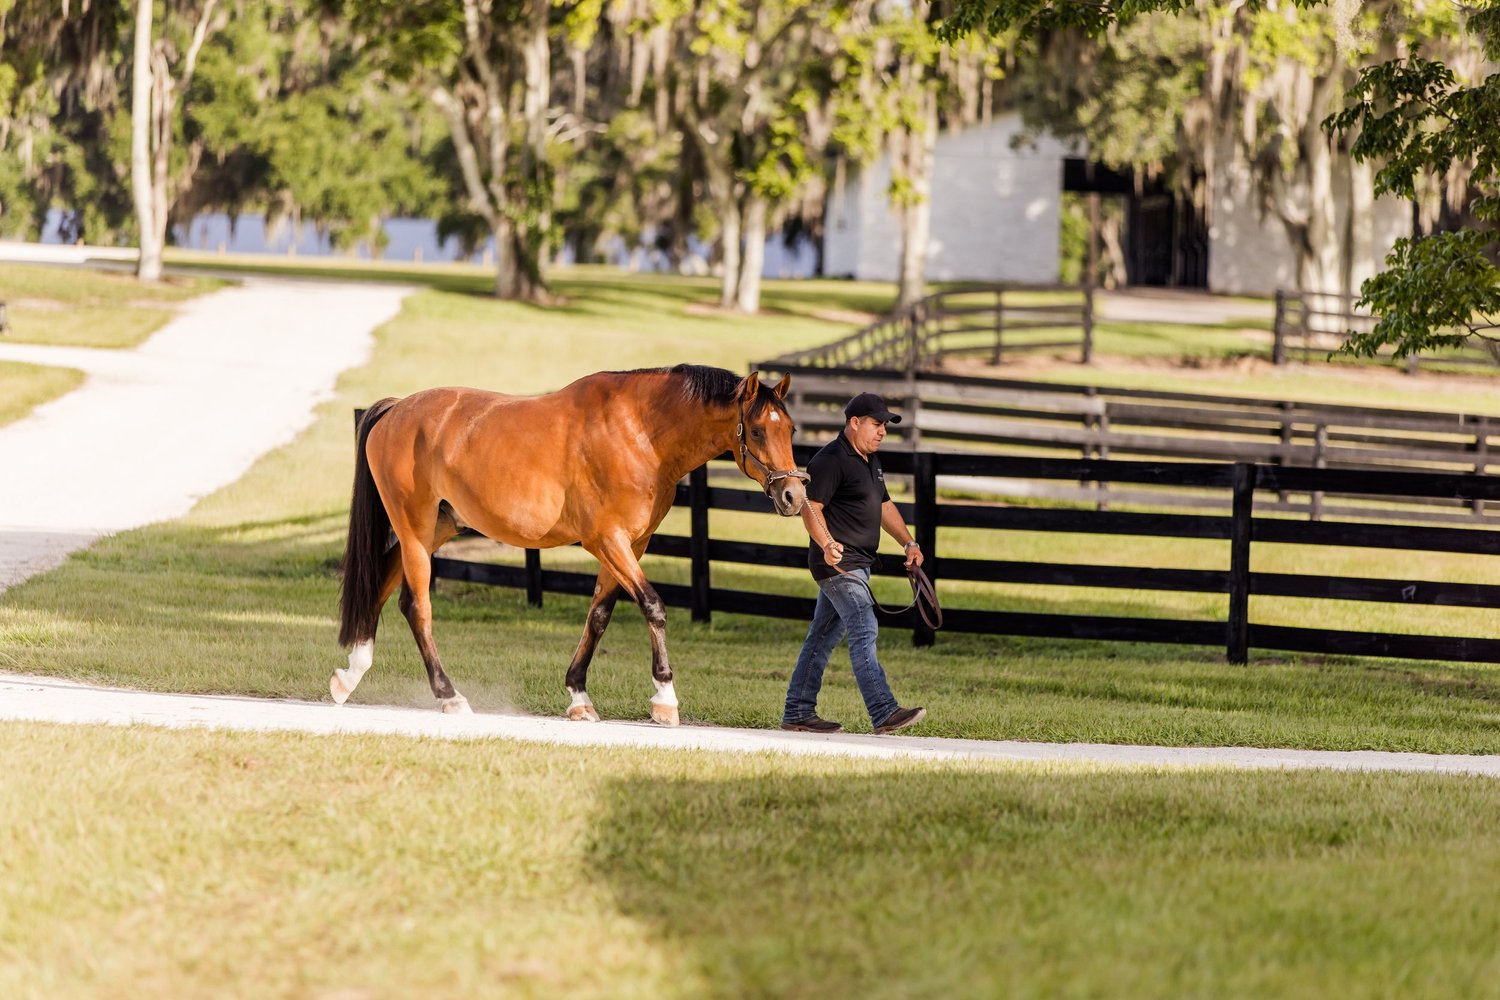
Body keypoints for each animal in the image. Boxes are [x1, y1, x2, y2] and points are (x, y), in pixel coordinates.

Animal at [333, 365, 807, 724]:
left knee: (381, 588)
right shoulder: (607, 540)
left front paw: (579, 696)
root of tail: (396, 410)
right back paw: (449, 695)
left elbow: (599, 615)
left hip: (436, 528)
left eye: (791, 429)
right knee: (416, 606)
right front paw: (665, 699)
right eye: (758, 431)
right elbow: (652, 606)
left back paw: (350, 676)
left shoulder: (631, 545)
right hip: (414, 528)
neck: (640, 433)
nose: (793, 496)